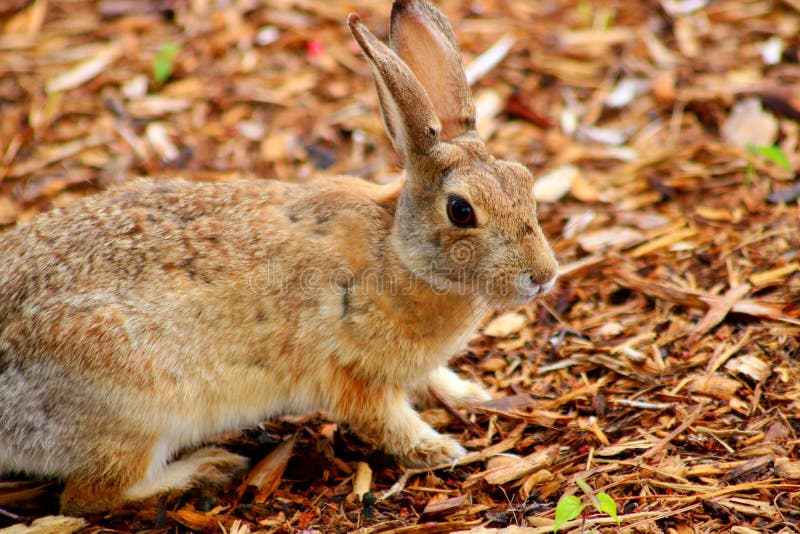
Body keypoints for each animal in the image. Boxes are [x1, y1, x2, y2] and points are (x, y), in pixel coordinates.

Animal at [0, 0, 558, 515]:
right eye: (461, 211)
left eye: (525, 179)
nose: (544, 277)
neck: (400, 252)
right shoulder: (350, 375)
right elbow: (386, 419)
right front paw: (438, 449)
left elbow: (434, 379)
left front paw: (471, 395)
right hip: (140, 417)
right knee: (88, 497)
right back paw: (207, 468)